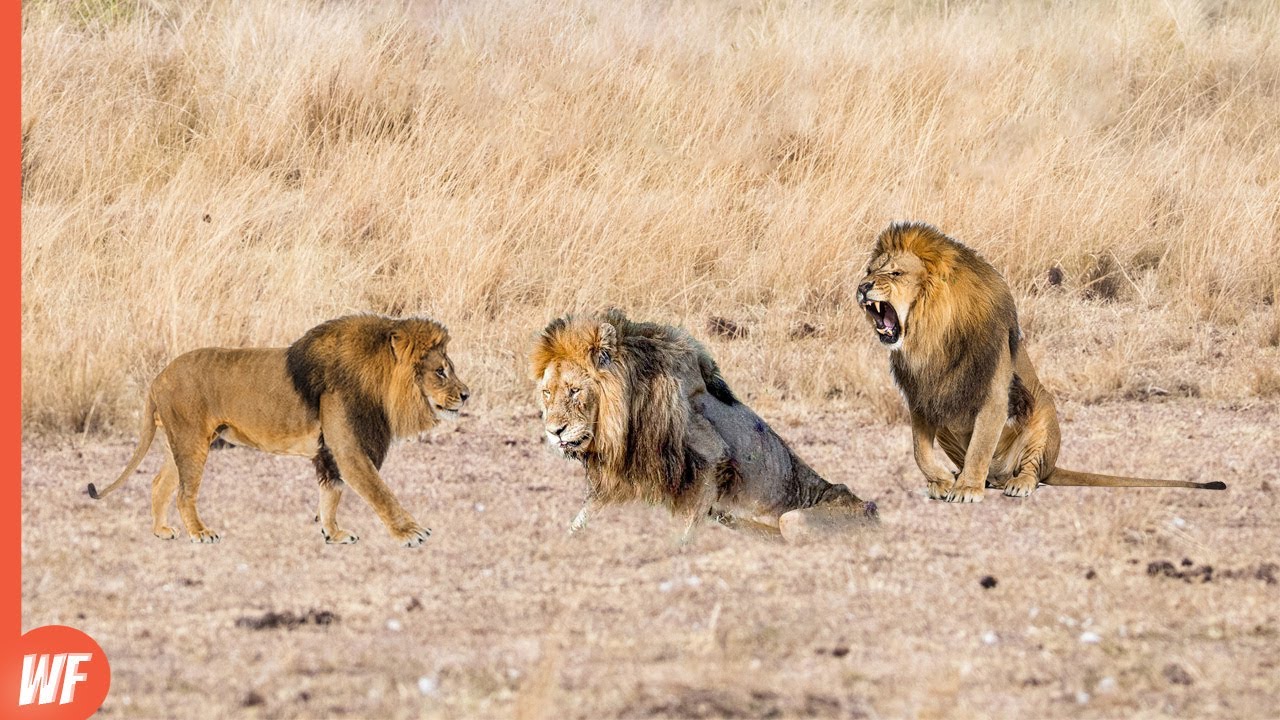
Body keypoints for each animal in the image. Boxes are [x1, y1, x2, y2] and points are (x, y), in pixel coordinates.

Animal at [87, 314, 470, 546]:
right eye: (440, 371)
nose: (467, 394)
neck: (377, 384)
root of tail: (158, 377)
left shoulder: (330, 452)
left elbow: (330, 494)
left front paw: (332, 533)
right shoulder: (350, 449)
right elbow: (380, 492)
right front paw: (409, 532)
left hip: (178, 442)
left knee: (159, 483)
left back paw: (161, 531)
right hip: (192, 442)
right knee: (184, 493)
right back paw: (200, 533)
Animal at [530, 309, 878, 543]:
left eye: (575, 391)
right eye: (547, 393)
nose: (554, 432)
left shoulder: (711, 458)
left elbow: (686, 526)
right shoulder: (622, 476)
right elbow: (582, 520)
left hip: (795, 518)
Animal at [856, 222, 1226, 502]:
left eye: (895, 273)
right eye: (870, 270)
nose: (862, 287)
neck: (931, 336)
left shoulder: (993, 393)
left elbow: (980, 447)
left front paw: (967, 488)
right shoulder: (925, 393)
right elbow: (919, 449)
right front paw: (942, 482)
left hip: (1044, 414)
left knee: (1032, 470)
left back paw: (1013, 483)